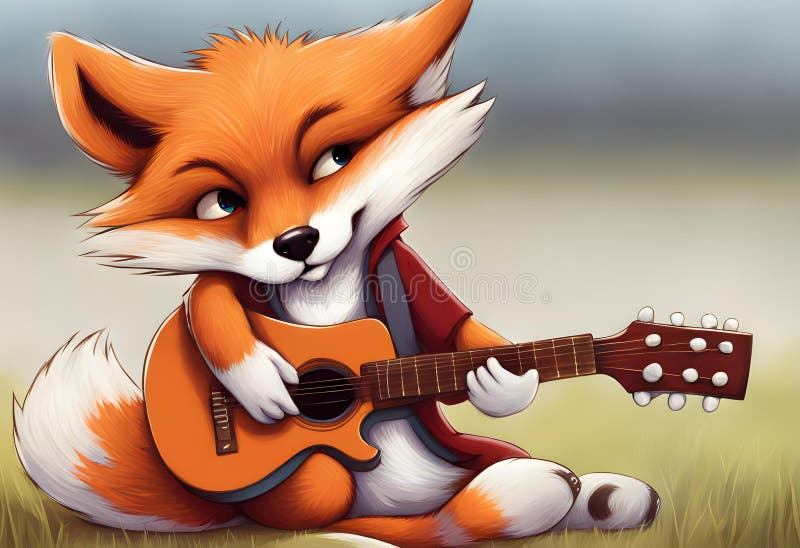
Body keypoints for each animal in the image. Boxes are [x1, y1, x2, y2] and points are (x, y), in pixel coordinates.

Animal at [13, 0, 661, 545]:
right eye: (221, 203)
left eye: (335, 160)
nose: (297, 242)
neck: (323, 281)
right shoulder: (236, 284)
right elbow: (209, 299)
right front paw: (259, 384)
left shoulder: (407, 270)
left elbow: (460, 337)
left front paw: (504, 381)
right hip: (301, 491)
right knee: (328, 503)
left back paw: (599, 495)